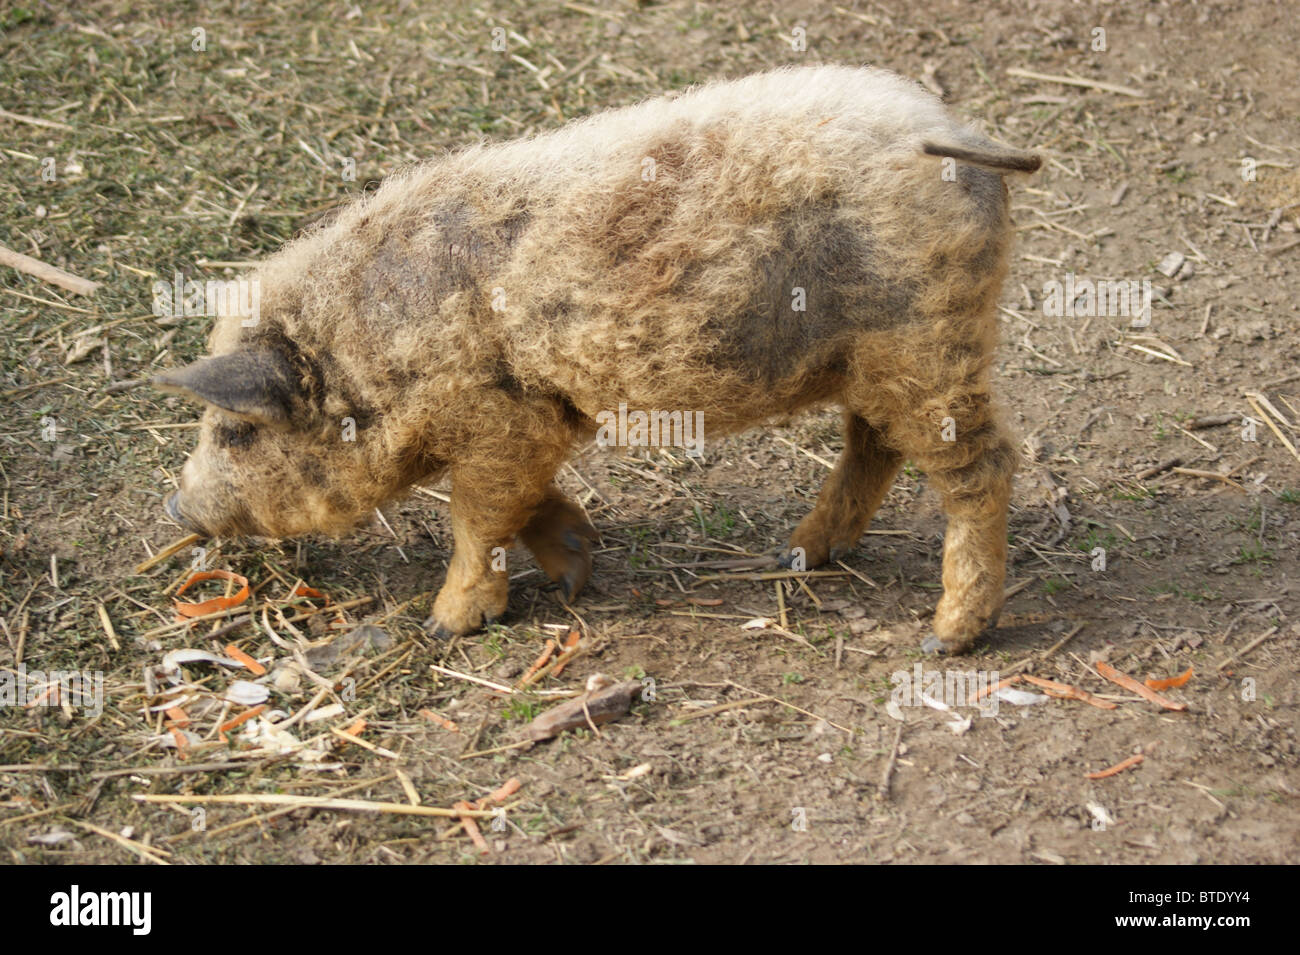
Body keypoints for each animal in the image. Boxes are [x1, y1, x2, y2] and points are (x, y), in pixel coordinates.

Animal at [155, 65, 1039, 653]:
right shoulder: (534, 419)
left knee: (984, 464)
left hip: (928, 339)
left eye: (235, 432)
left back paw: (945, 637)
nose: (175, 504)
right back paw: (795, 554)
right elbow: (521, 503)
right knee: (873, 445)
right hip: (880, 355)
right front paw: (577, 569)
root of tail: (952, 133)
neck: (377, 356)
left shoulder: (497, 420)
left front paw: (447, 623)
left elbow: (475, 516)